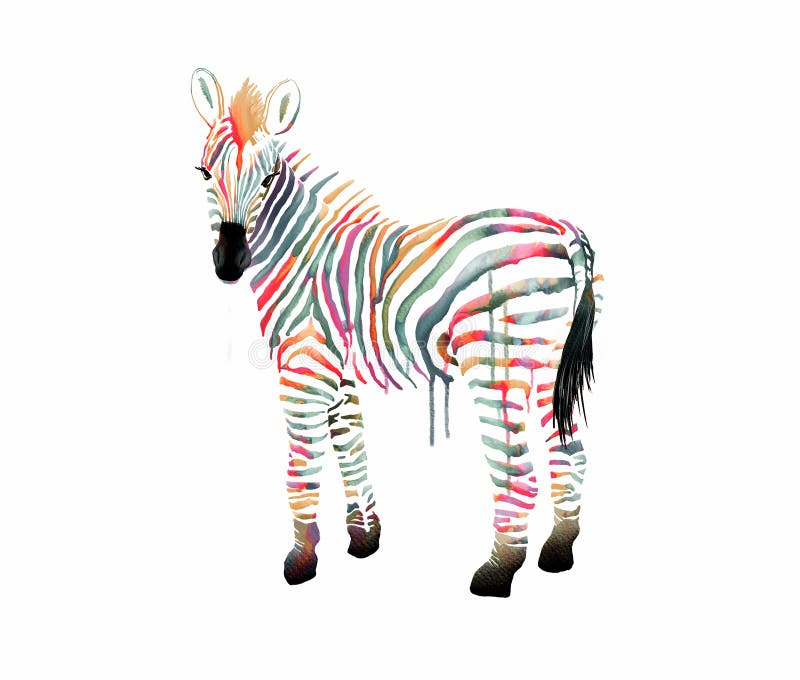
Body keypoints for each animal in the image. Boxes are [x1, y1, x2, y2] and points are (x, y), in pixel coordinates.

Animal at [190, 69, 603, 597]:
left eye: (267, 178)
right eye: (204, 173)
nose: (228, 264)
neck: (300, 253)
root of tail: (563, 231)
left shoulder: (304, 370)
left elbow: (302, 467)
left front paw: (300, 561)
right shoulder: (337, 369)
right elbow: (350, 447)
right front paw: (365, 537)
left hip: (496, 363)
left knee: (517, 471)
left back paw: (497, 572)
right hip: (548, 364)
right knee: (570, 453)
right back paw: (558, 551)